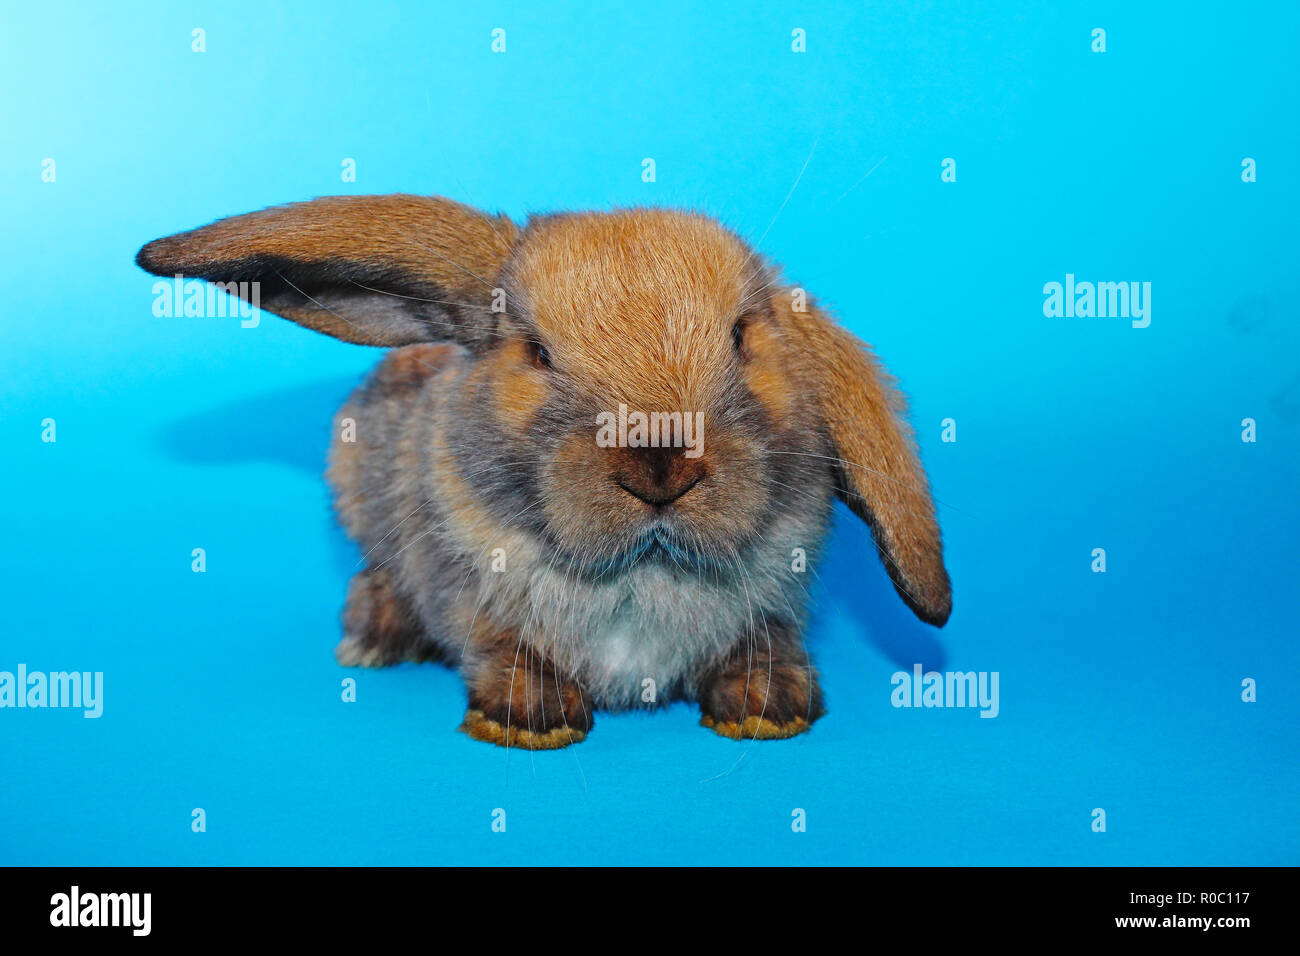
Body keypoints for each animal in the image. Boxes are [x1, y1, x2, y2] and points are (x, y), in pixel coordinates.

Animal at [136, 194, 951, 750]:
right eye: (535, 351)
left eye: (742, 336)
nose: (660, 461)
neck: (639, 579)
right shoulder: (472, 598)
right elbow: (500, 646)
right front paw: (532, 717)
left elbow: (765, 640)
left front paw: (768, 704)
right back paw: (373, 640)